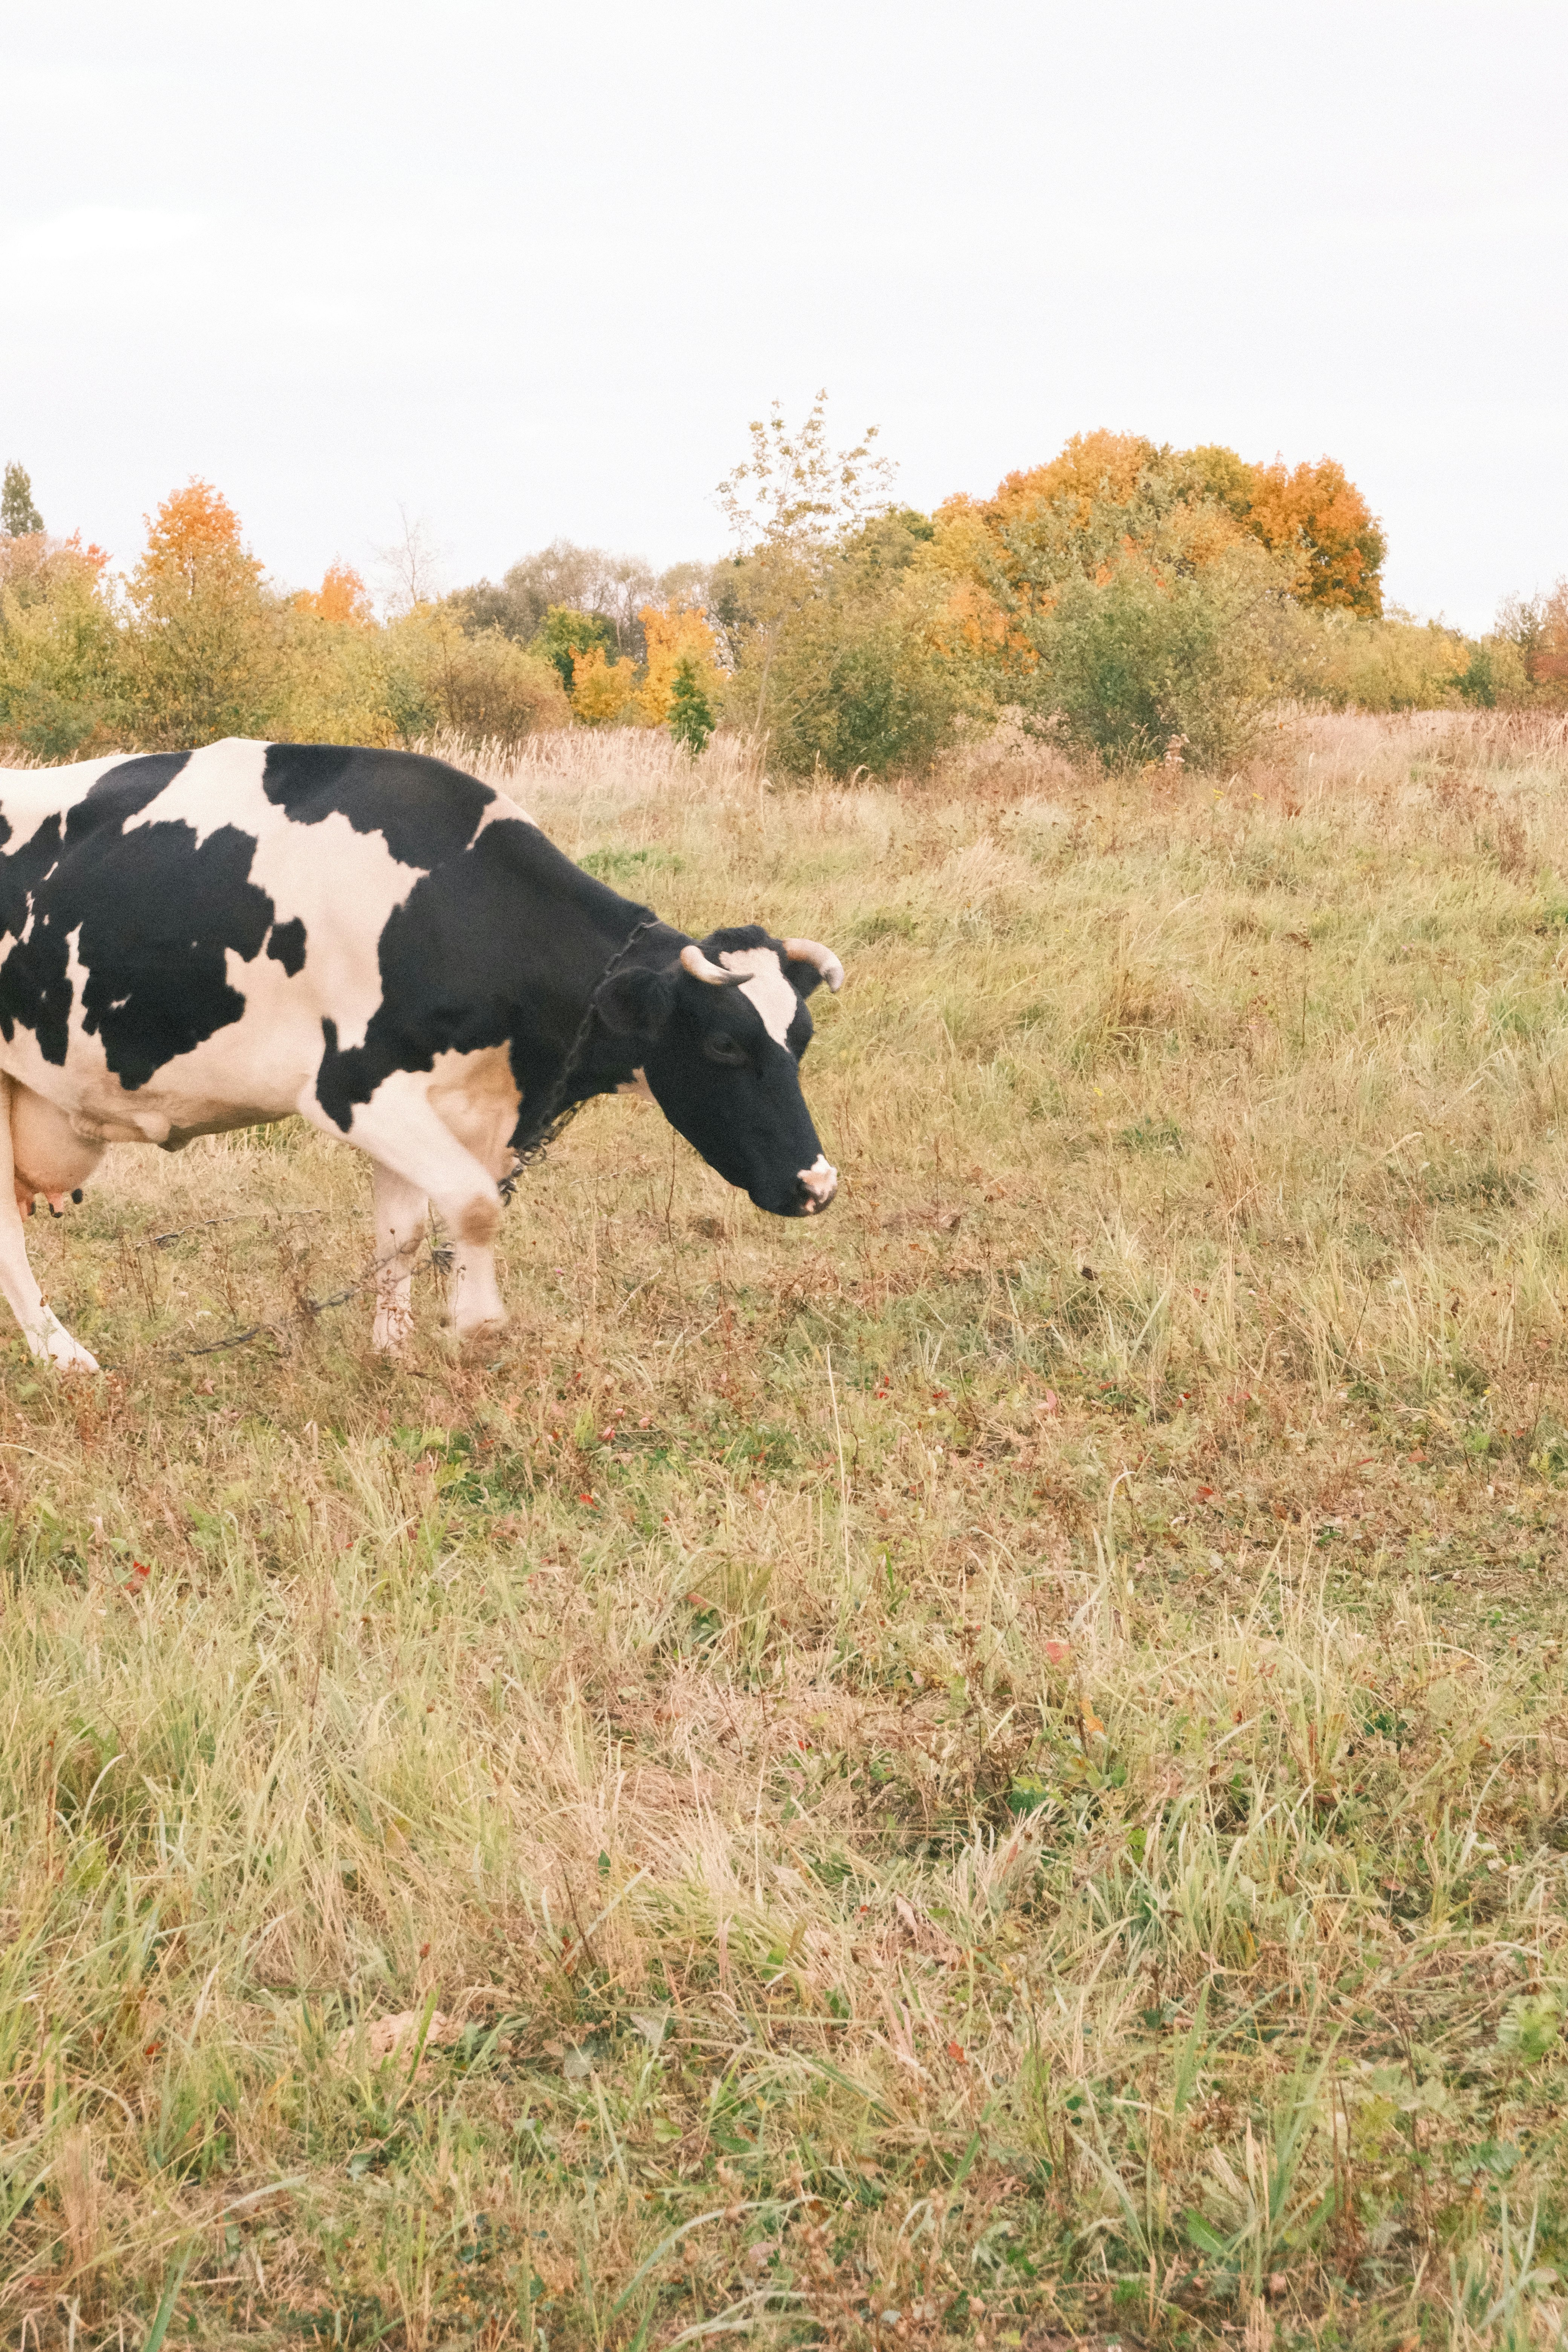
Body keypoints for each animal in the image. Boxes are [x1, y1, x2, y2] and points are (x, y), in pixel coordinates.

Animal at [0, 740, 844, 1371]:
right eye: (724, 1045)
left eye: (801, 1038)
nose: (817, 1186)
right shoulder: (354, 1090)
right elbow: (471, 1203)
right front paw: (478, 1328)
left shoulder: (444, 1100)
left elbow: (402, 1233)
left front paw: (392, 1351)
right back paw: (65, 1358)